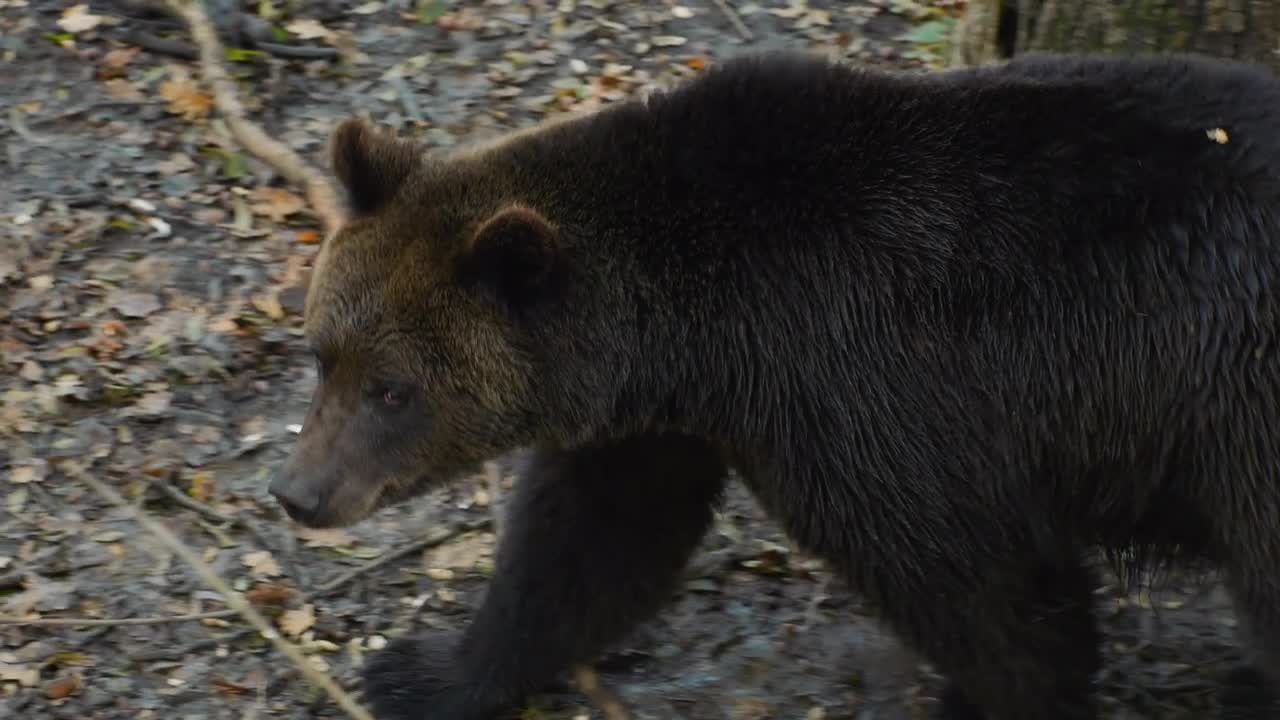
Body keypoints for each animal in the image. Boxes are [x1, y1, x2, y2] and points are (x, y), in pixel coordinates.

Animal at [269, 50, 1280, 720]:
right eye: (323, 355)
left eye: (394, 390)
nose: (300, 494)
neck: (698, 325)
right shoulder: (656, 426)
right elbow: (585, 547)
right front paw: (423, 670)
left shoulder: (863, 392)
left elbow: (979, 580)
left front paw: (998, 692)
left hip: (1240, 419)